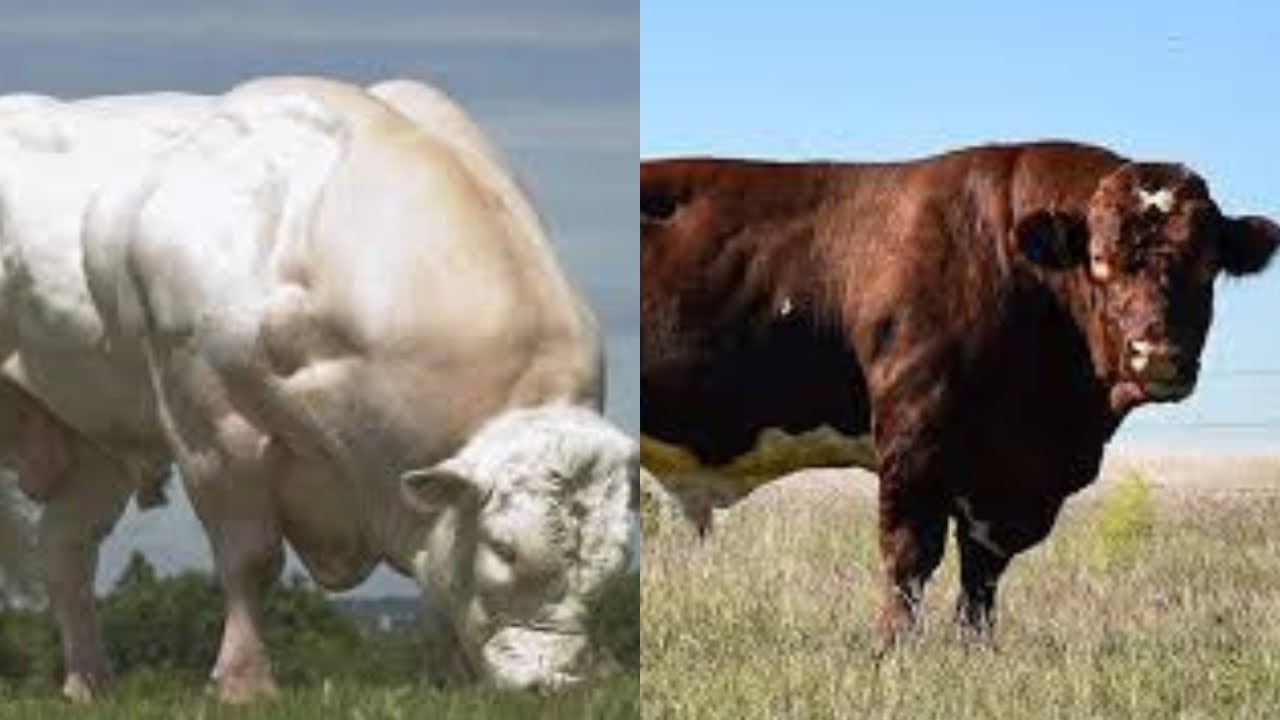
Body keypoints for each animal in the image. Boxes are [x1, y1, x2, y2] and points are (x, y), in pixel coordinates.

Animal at [0, 76, 636, 701]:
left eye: (613, 569)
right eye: (504, 548)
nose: (554, 682)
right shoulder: (209, 419)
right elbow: (251, 558)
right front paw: (245, 683)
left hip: (92, 439)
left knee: (66, 551)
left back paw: (88, 683)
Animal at [640, 142, 1278, 651]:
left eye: (1208, 265)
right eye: (1100, 260)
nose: (1159, 353)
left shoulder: (1008, 478)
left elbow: (982, 571)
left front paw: (976, 649)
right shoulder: (913, 437)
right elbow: (909, 556)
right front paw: (892, 649)